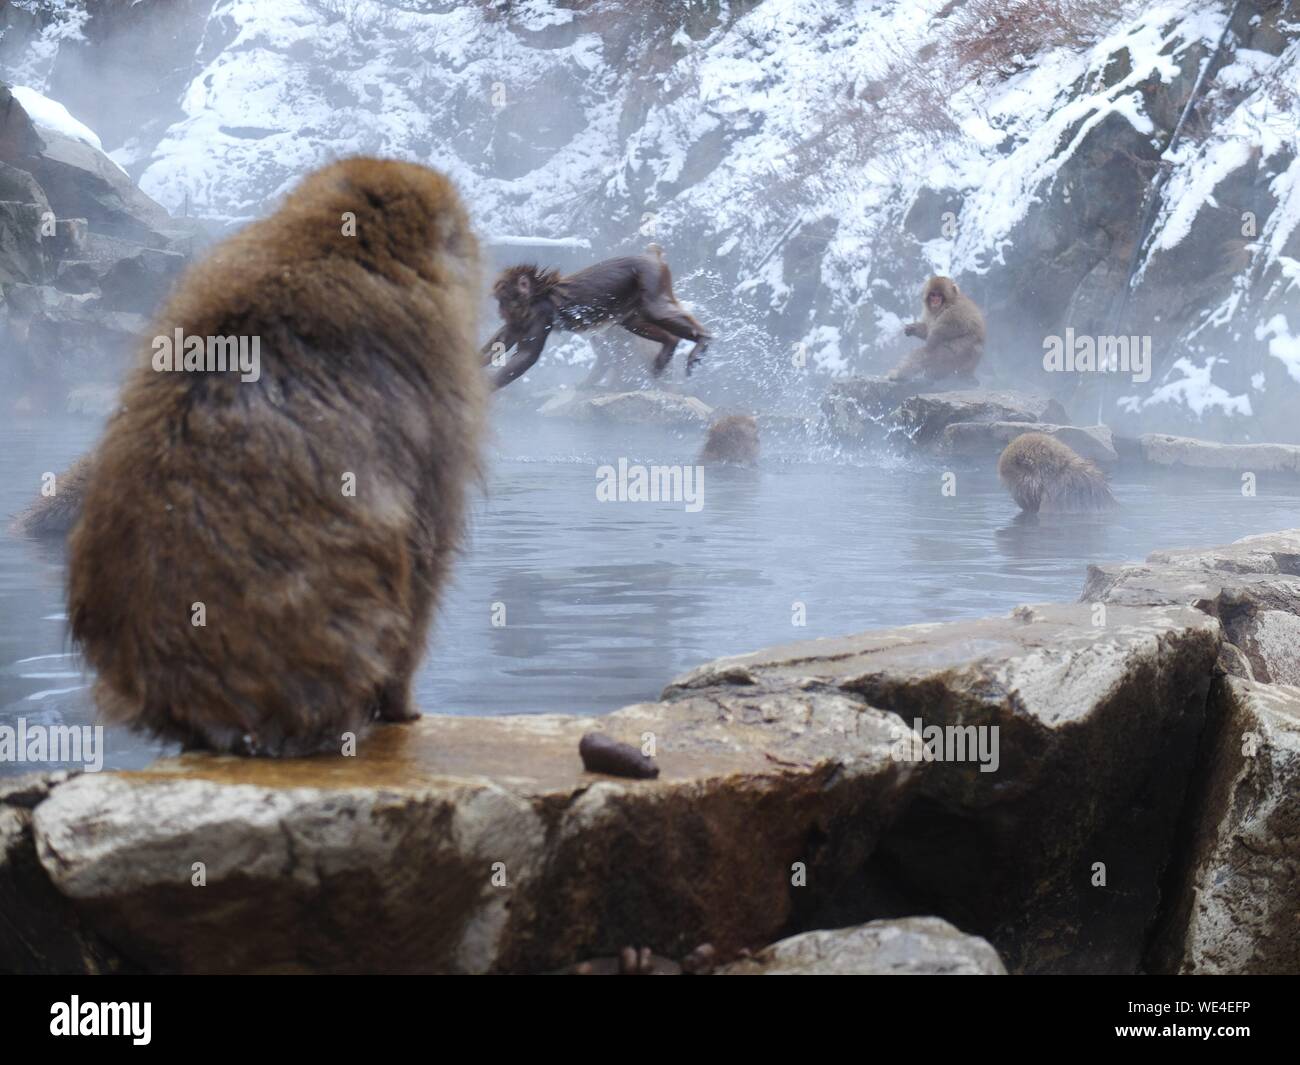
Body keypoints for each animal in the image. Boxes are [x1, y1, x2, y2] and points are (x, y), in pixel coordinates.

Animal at [481, 243, 709, 389]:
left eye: (503, 300)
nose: (500, 311)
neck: (540, 293)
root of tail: (653, 256)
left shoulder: (541, 312)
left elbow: (527, 355)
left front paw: (488, 388)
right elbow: (505, 338)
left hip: (651, 275)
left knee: (657, 310)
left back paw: (702, 339)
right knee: (632, 322)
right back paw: (670, 344)